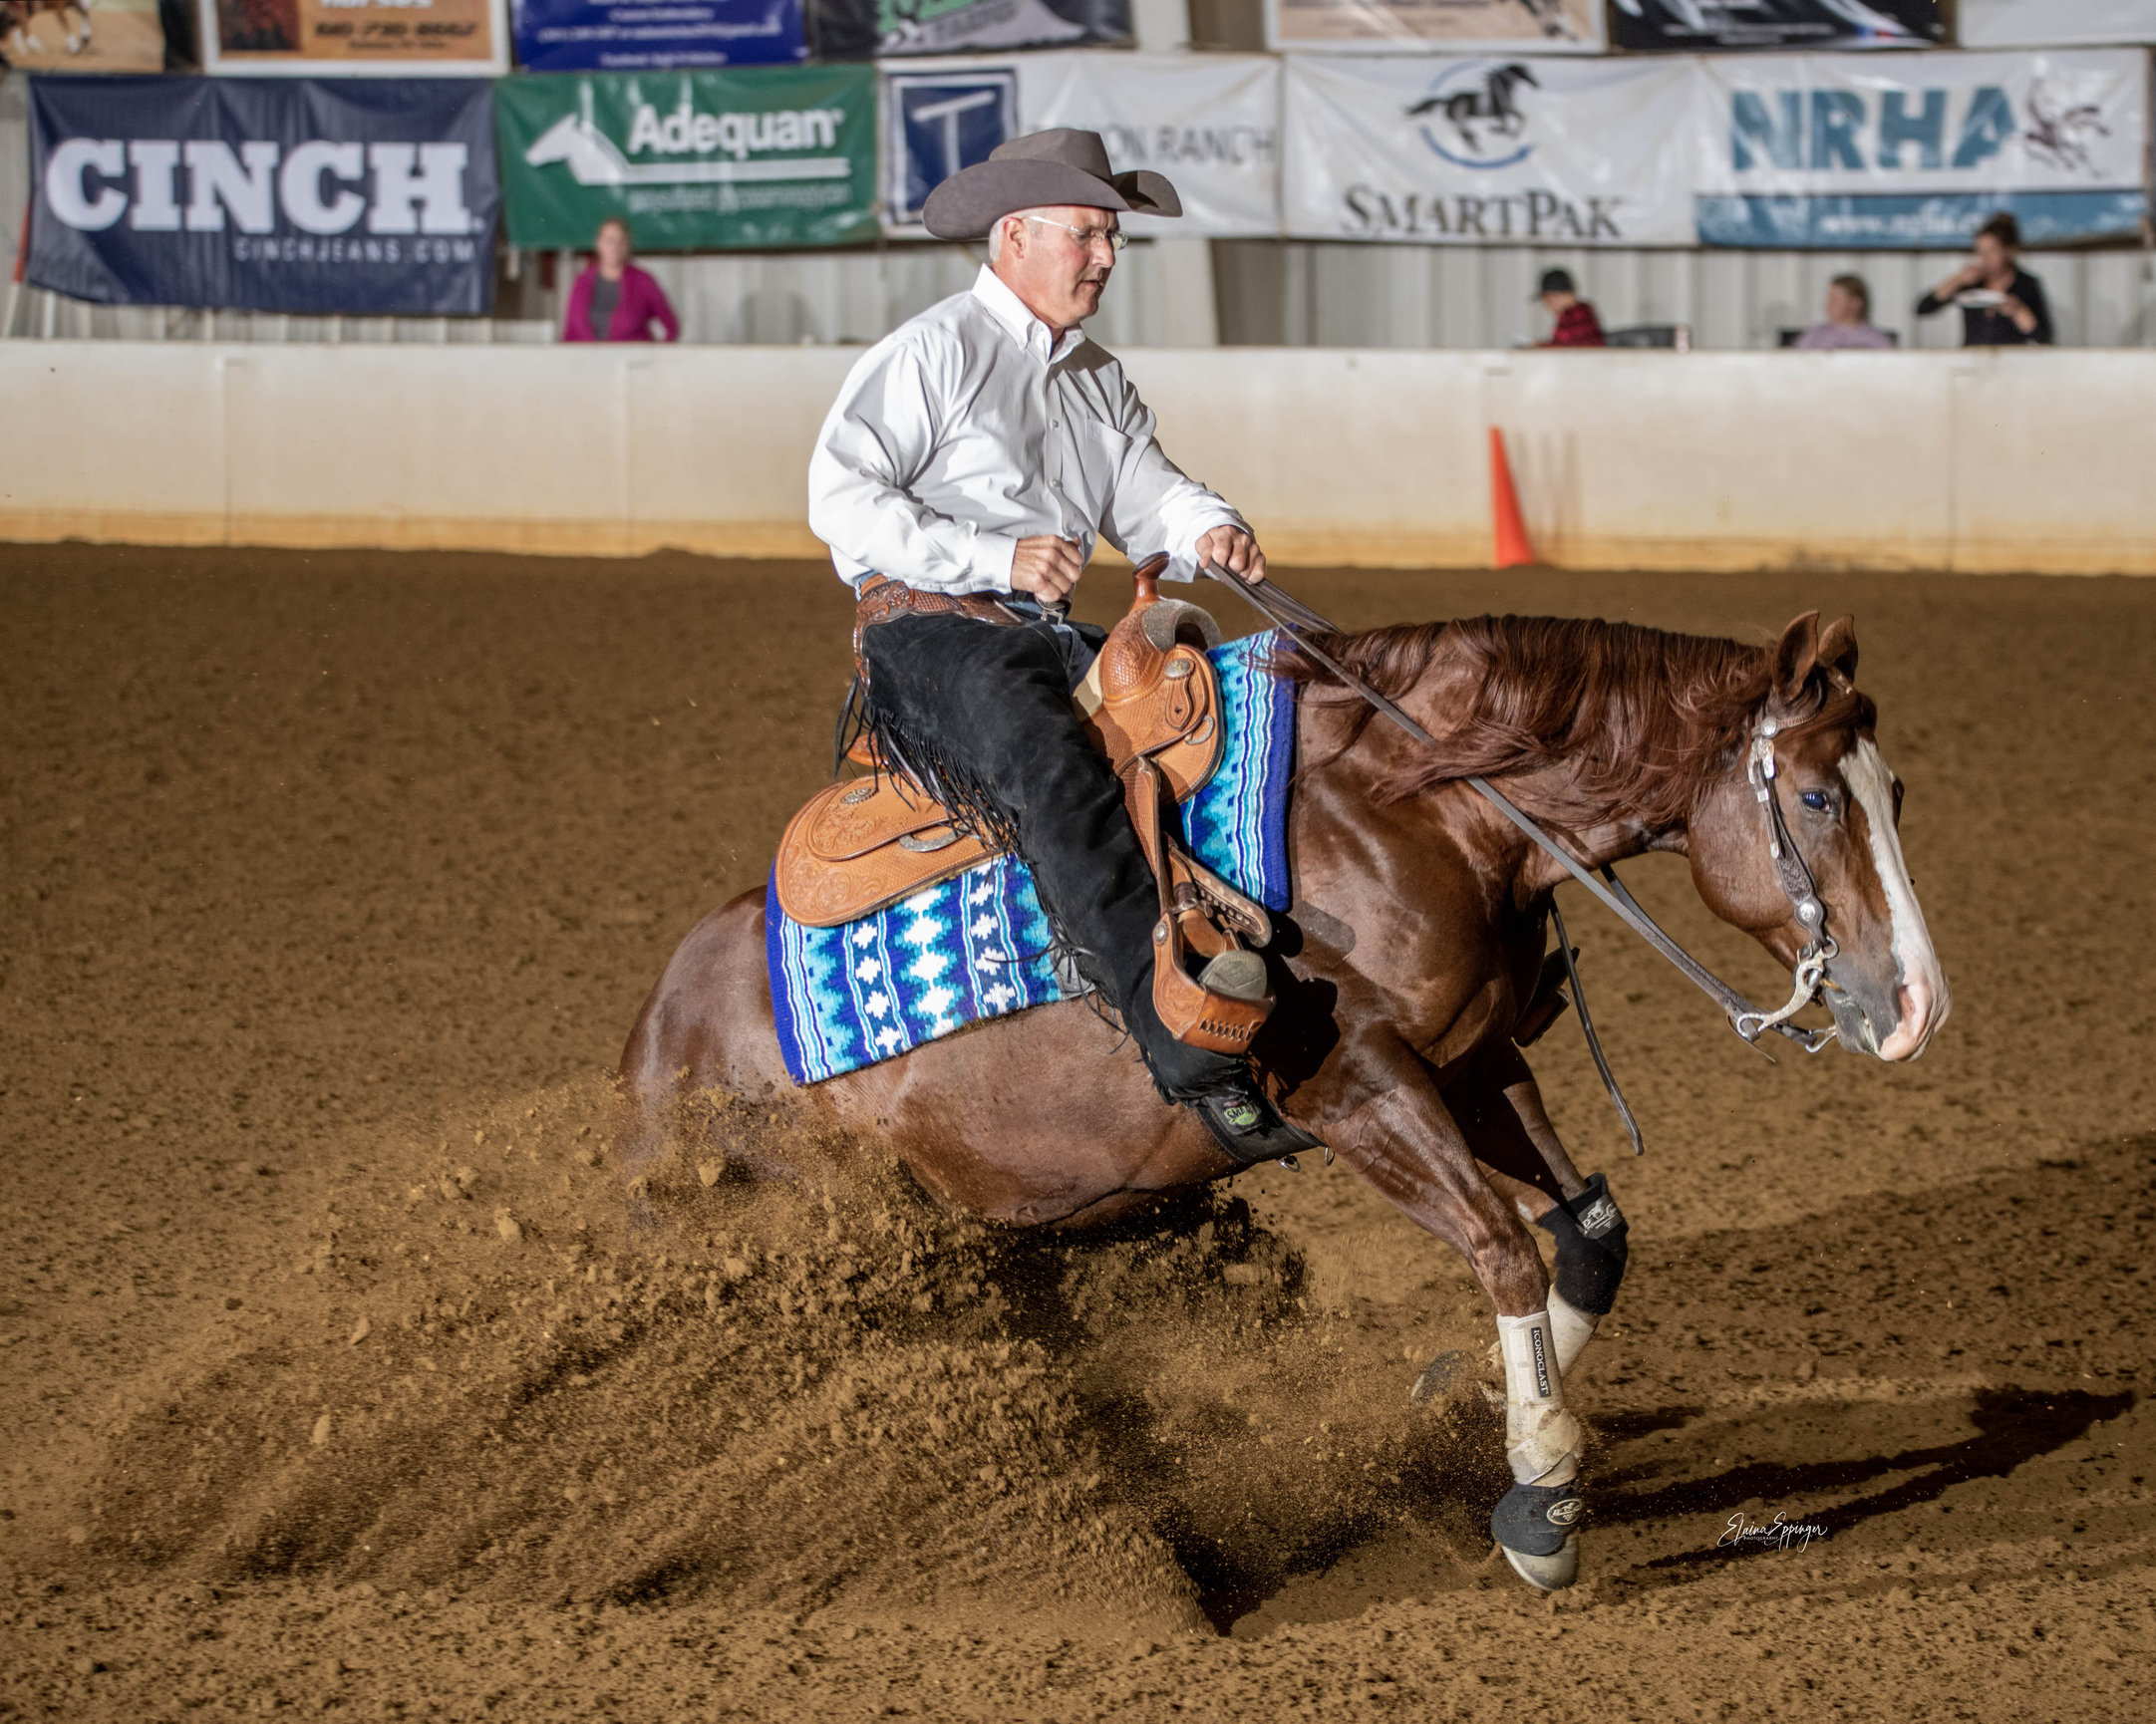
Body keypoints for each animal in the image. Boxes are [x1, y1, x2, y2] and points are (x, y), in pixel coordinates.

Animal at [618, 606, 1950, 1590]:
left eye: (1898, 792)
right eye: (1818, 798)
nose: (1919, 1004)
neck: (1412, 806)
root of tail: (658, 1036)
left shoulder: (1468, 1060)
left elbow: (1589, 1231)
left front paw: (1467, 1395)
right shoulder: (1356, 1086)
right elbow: (1505, 1247)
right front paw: (1539, 1498)